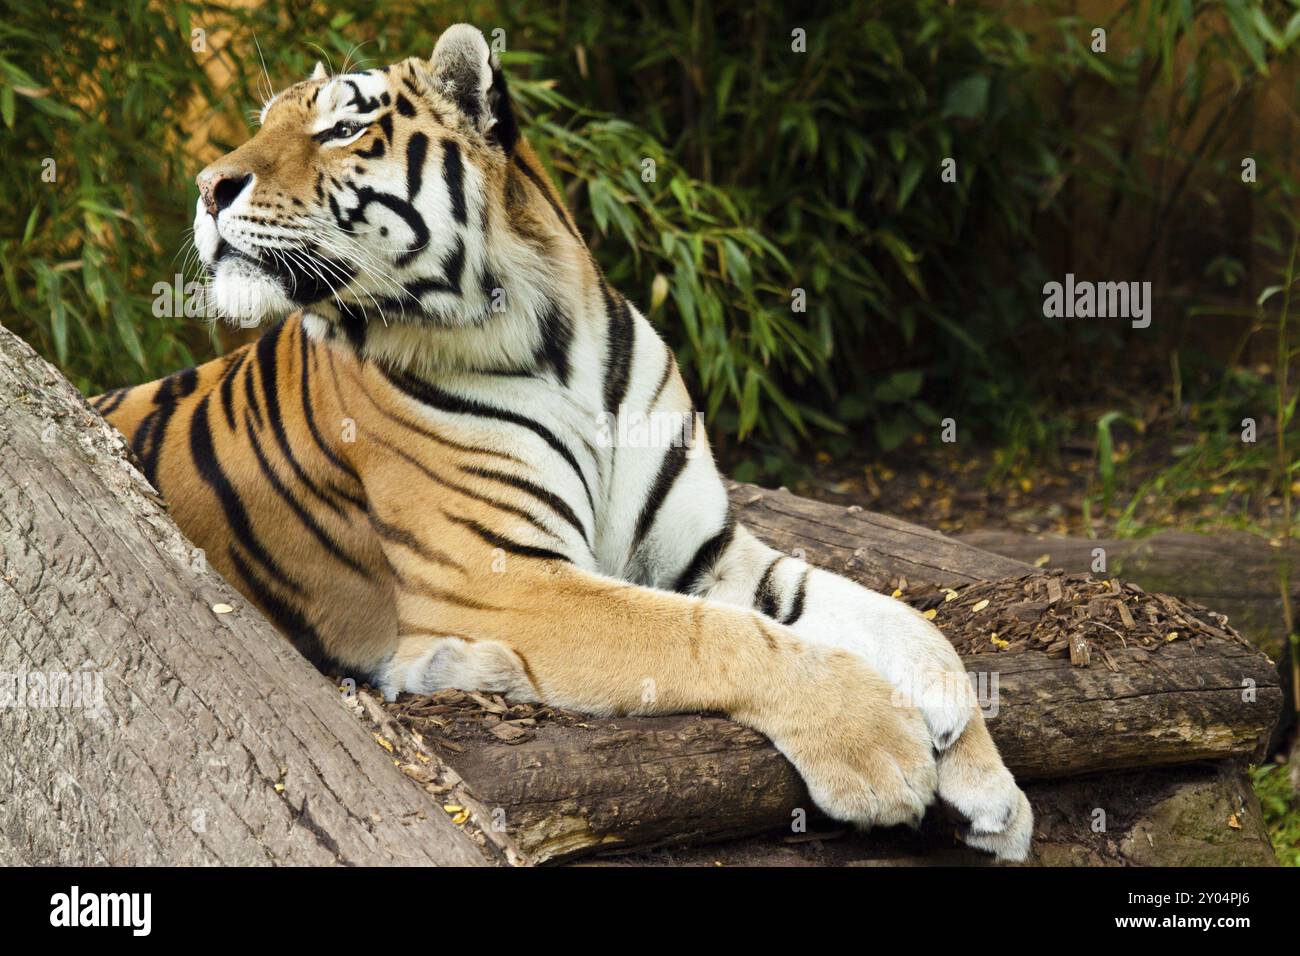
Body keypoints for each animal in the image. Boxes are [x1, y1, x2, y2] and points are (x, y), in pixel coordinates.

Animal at [91, 24, 1032, 860]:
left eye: (344, 127)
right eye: (264, 121)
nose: (208, 185)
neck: (554, 340)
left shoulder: (708, 552)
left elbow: (901, 619)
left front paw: (989, 784)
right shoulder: (508, 578)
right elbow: (714, 636)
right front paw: (881, 747)